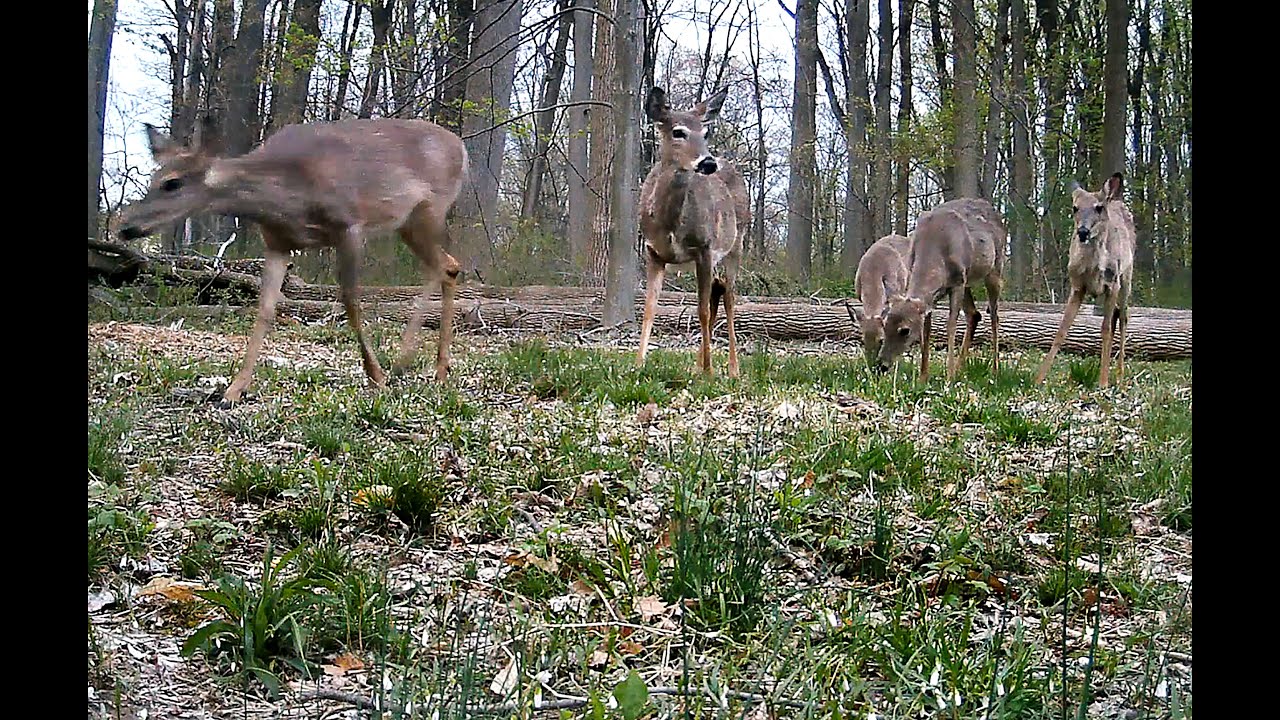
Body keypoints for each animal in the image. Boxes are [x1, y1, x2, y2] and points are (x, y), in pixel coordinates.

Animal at [117, 118, 468, 408]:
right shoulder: (277, 244)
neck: (284, 195)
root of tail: (462, 149)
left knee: (440, 265)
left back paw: (403, 361)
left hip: (427, 210)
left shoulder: (349, 226)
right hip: (408, 223)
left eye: (172, 183)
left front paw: (375, 375)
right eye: (152, 179)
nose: (125, 227)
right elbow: (264, 311)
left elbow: (351, 303)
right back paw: (437, 369)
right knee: (449, 265)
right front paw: (234, 390)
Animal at [636, 86, 751, 378]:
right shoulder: (653, 251)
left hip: (736, 243)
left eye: (706, 132)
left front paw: (710, 372)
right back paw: (698, 365)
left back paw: (731, 368)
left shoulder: (705, 247)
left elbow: (701, 311)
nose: (708, 163)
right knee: (717, 291)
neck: (670, 224)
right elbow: (649, 308)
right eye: (678, 132)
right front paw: (638, 363)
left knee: (729, 297)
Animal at [878, 197, 1006, 382]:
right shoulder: (937, 294)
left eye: (905, 330)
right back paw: (961, 368)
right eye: (884, 324)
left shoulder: (958, 283)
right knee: (974, 314)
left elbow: (951, 325)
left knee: (994, 315)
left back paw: (994, 371)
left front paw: (949, 376)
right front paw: (923, 377)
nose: (881, 366)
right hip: (968, 280)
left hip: (995, 268)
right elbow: (926, 329)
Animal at [1034, 172, 1136, 388]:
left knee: (1123, 319)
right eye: (1075, 208)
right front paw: (1038, 378)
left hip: (1126, 278)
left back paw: (1120, 376)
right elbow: (1061, 330)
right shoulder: (1078, 287)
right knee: (1115, 318)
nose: (1082, 232)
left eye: (1098, 207)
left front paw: (1103, 382)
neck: (1091, 268)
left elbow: (1105, 330)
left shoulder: (1112, 284)